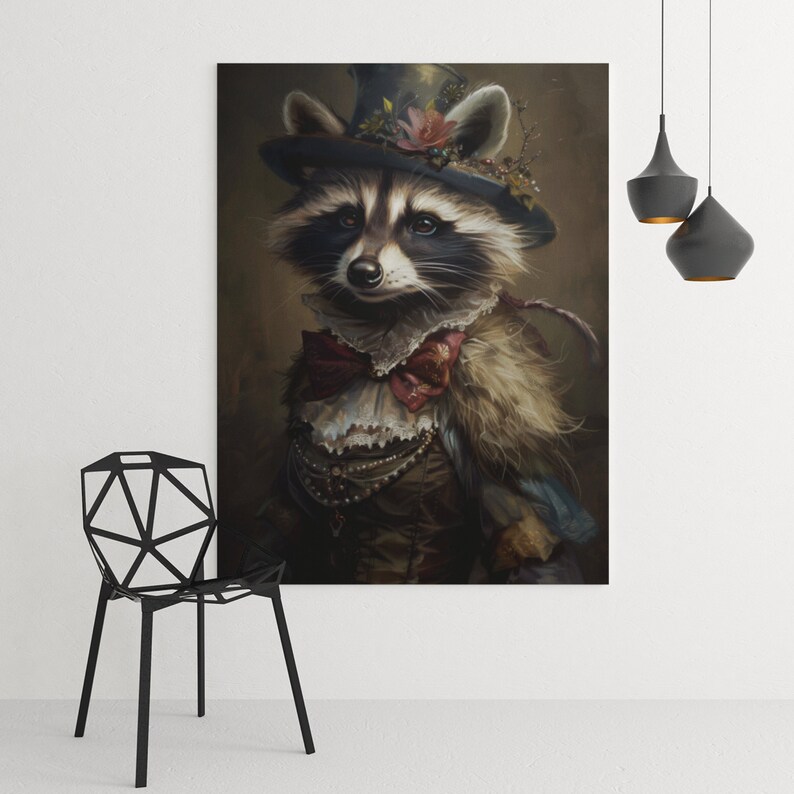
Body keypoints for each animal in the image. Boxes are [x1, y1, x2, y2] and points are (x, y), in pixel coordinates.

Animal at [259, 83, 598, 584]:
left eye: (422, 224)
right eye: (347, 219)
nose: (364, 272)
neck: (384, 350)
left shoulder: (493, 405)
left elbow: (527, 534)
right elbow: (284, 520)